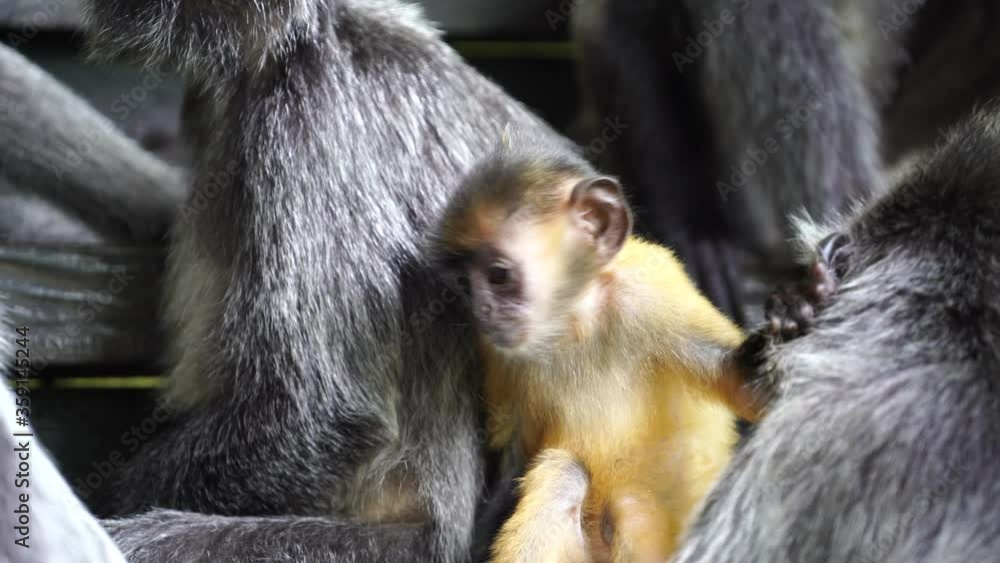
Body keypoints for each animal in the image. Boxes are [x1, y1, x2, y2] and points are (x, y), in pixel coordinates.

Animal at [433, 140, 766, 562]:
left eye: (498, 276)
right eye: (465, 284)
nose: (483, 311)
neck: (576, 323)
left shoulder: (649, 292)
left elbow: (746, 386)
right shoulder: (499, 355)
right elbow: (513, 460)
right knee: (565, 475)